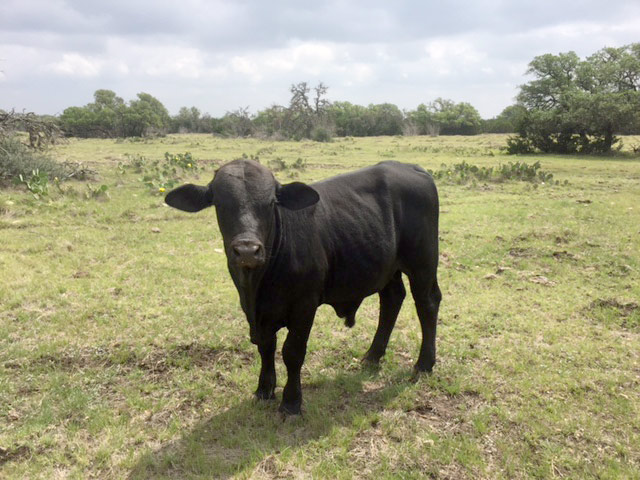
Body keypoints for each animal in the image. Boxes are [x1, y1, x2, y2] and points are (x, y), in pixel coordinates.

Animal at [165, 159, 441, 415]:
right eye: (220, 204)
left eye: (270, 203)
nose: (247, 250)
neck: (257, 286)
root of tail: (411, 167)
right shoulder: (255, 313)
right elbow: (266, 347)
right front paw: (264, 389)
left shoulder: (304, 305)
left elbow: (292, 352)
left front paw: (291, 402)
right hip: (387, 267)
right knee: (392, 299)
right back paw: (372, 356)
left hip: (422, 263)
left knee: (427, 303)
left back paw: (424, 364)